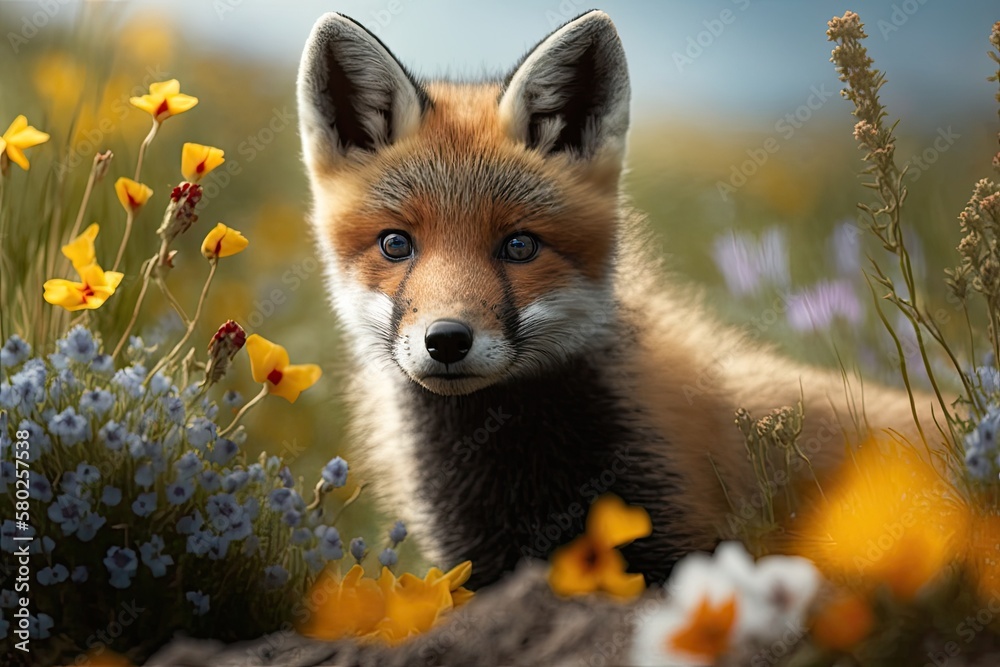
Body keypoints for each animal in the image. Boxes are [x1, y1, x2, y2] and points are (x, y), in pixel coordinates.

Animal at [295, 10, 932, 589]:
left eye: (519, 245)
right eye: (396, 244)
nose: (447, 340)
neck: (513, 461)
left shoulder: (669, 542)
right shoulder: (480, 563)